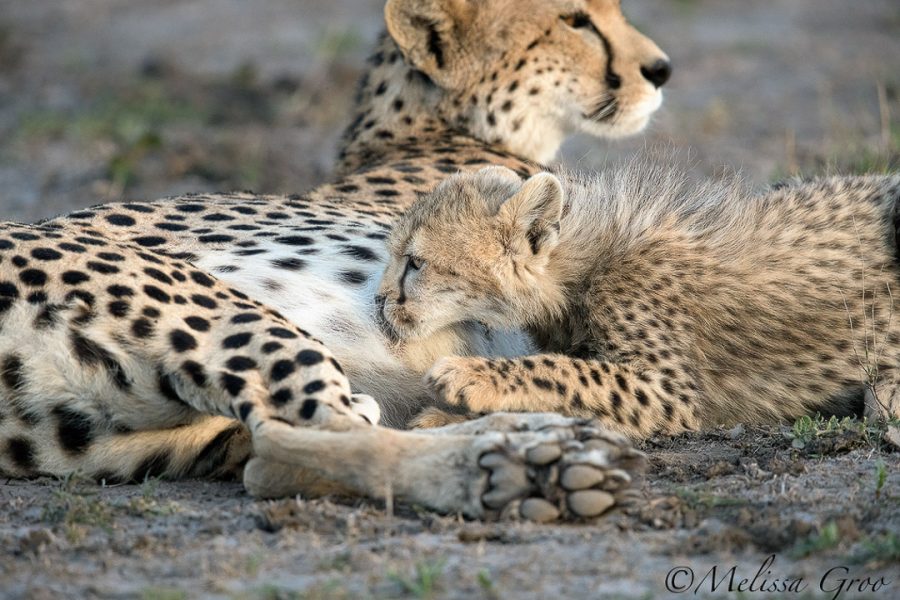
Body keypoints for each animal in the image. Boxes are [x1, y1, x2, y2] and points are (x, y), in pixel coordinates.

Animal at [0, 0, 667, 521]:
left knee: (283, 450)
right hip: (217, 306)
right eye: (575, 21)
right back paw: (528, 460)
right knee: (303, 437)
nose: (660, 70)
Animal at [377, 162, 900, 437]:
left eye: (415, 263)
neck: (584, 266)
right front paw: (446, 417)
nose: (379, 302)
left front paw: (469, 376)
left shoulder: (670, 391)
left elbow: (566, 373)